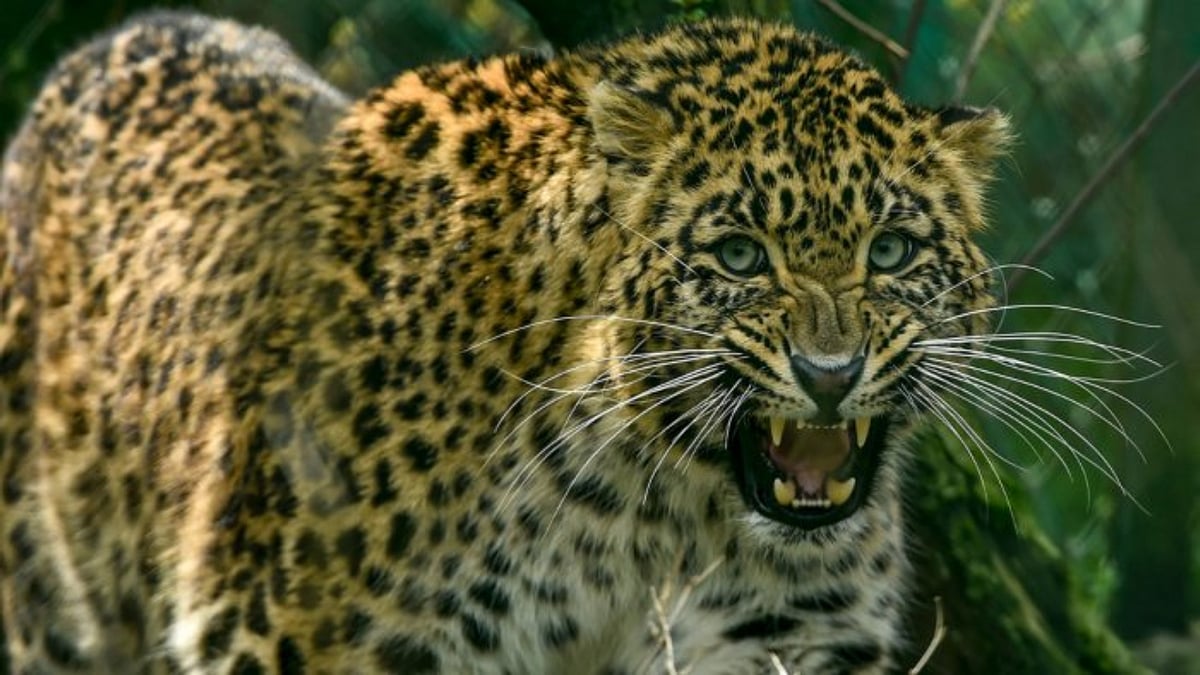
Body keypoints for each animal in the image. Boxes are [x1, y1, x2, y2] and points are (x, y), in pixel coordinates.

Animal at [0, 10, 1009, 675]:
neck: (658, 509)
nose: (829, 375)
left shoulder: (782, 634)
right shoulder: (299, 632)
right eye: (738, 254)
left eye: (891, 250)